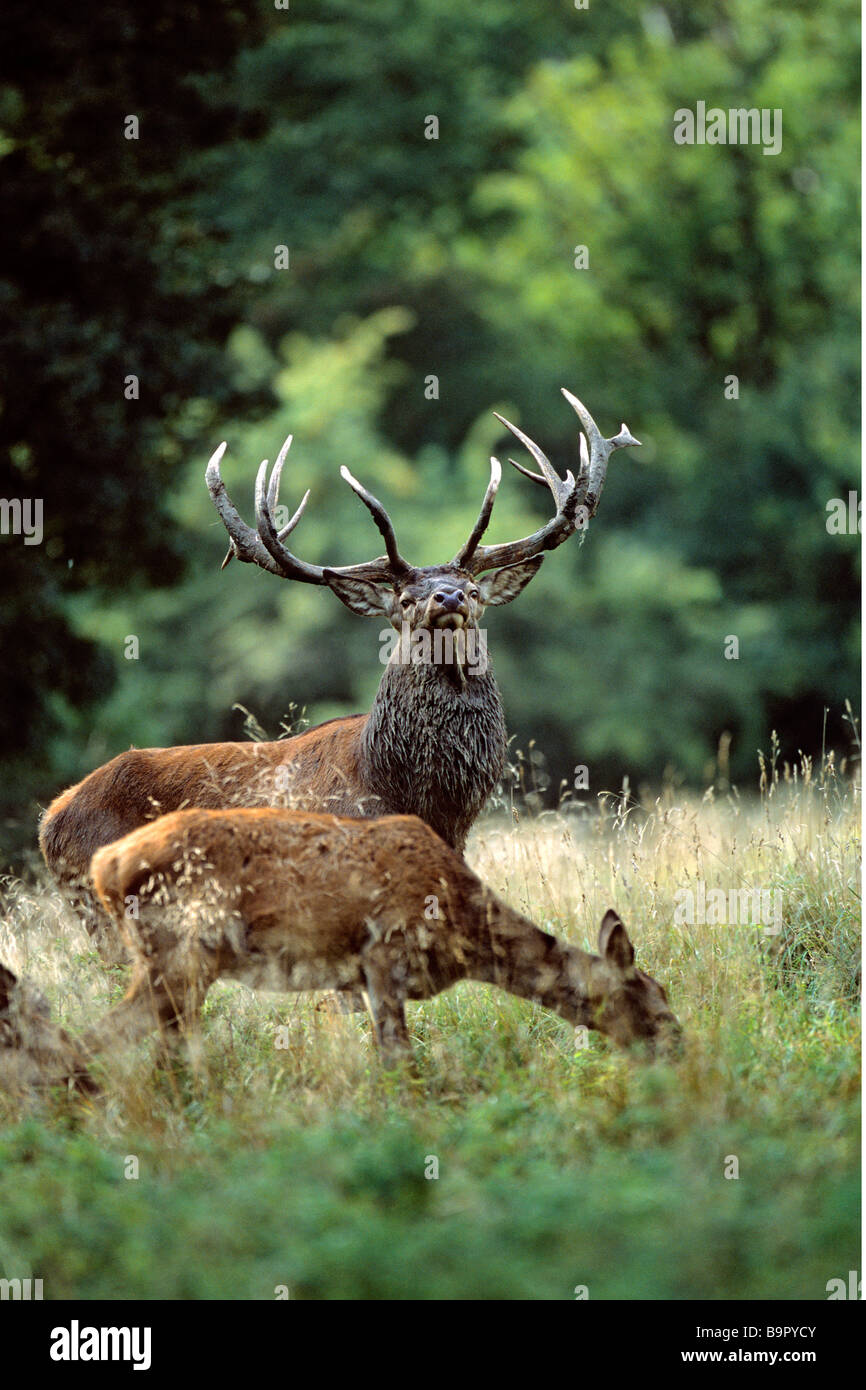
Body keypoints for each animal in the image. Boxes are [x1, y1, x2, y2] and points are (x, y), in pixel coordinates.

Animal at [1, 809, 681, 1091]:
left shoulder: (356, 977)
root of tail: (105, 866)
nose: (681, 1047)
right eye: (655, 996)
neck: (464, 932)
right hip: (180, 953)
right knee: (97, 1040)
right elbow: (399, 1060)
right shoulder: (383, 955)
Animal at [39, 391, 640, 967]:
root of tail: (50, 820)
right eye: (405, 599)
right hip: (108, 910)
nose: (446, 598)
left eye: (473, 590)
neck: (411, 795)